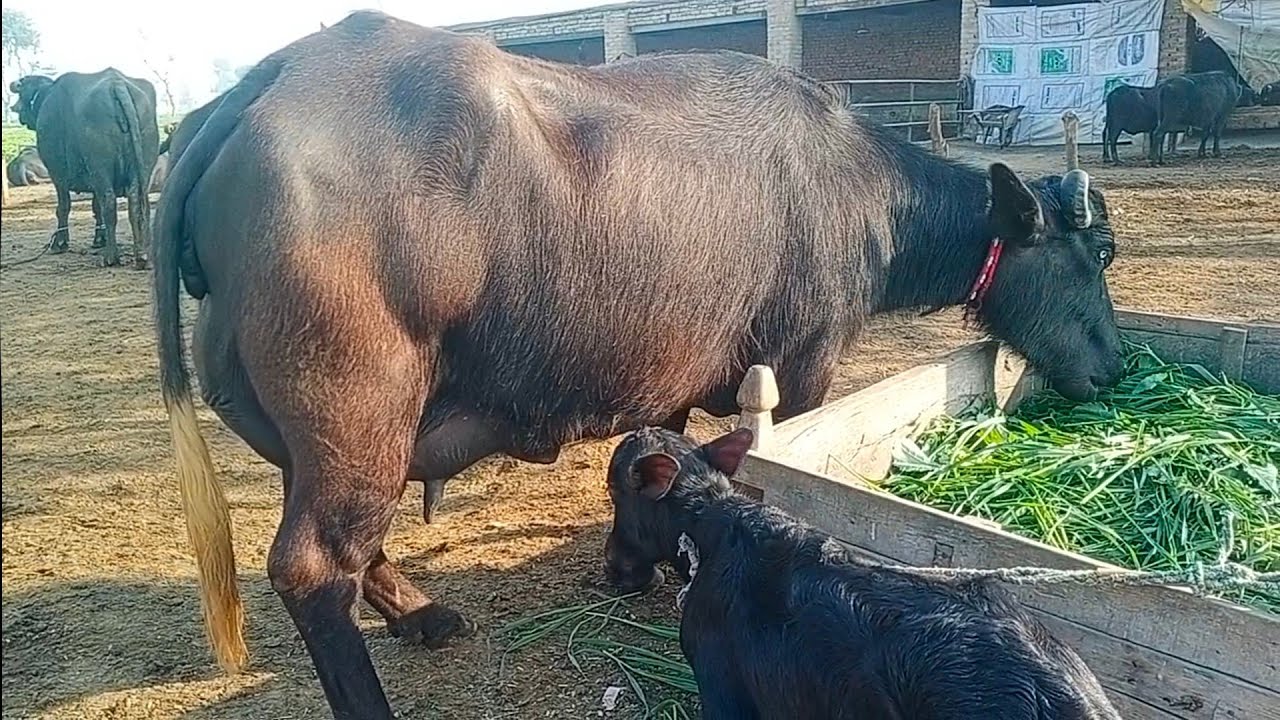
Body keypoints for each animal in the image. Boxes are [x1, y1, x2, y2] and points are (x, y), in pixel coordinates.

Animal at [9, 68, 159, 268]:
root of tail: (116, 84)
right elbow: (96, 207)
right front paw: (99, 239)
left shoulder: (58, 175)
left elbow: (63, 206)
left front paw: (60, 243)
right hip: (142, 167)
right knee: (136, 202)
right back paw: (142, 255)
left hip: (100, 168)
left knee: (109, 202)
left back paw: (111, 257)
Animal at [153, 12, 1125, 719]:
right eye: (1099, 254)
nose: (1113, 370)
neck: (860, 190)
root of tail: (260, 89)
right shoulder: (802, 361)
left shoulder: (681, 385)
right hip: (358, 411)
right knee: (315, 566)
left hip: (314, 434)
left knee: (350, 547)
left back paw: (423, 614)